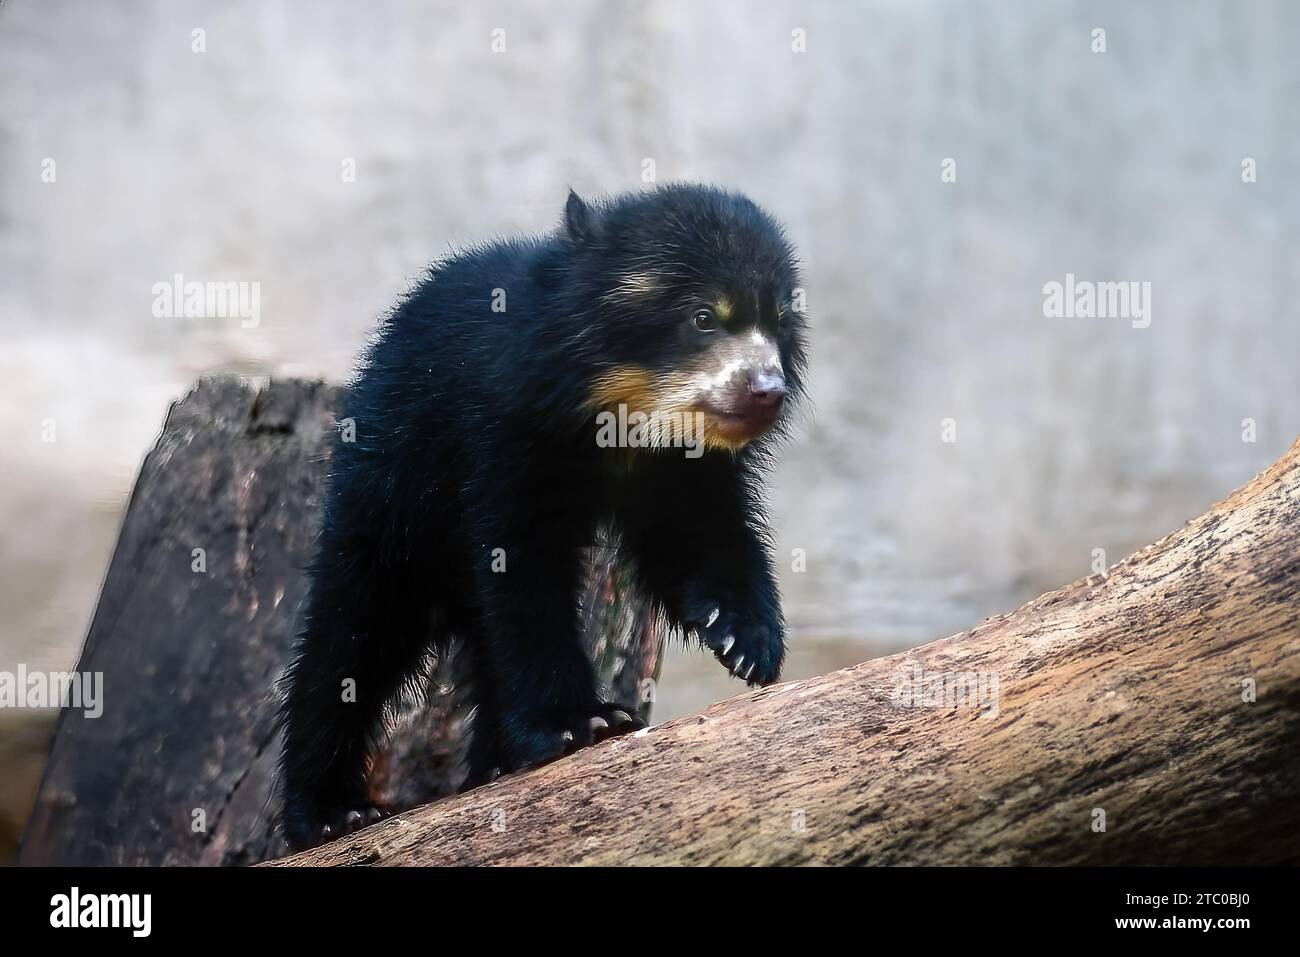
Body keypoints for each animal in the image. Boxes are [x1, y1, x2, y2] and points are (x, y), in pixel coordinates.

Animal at [277, 183, 809, 850]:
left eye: (778, 322)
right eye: (704, 317)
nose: (768, 390)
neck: (622, 417)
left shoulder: (683, 467)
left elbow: (701, 536)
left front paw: (745, 642)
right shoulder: (502, 430)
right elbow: (522, 571)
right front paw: (581, 723)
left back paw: (496, 761)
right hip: (391, 484)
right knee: (355, 627)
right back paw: (328, 812)